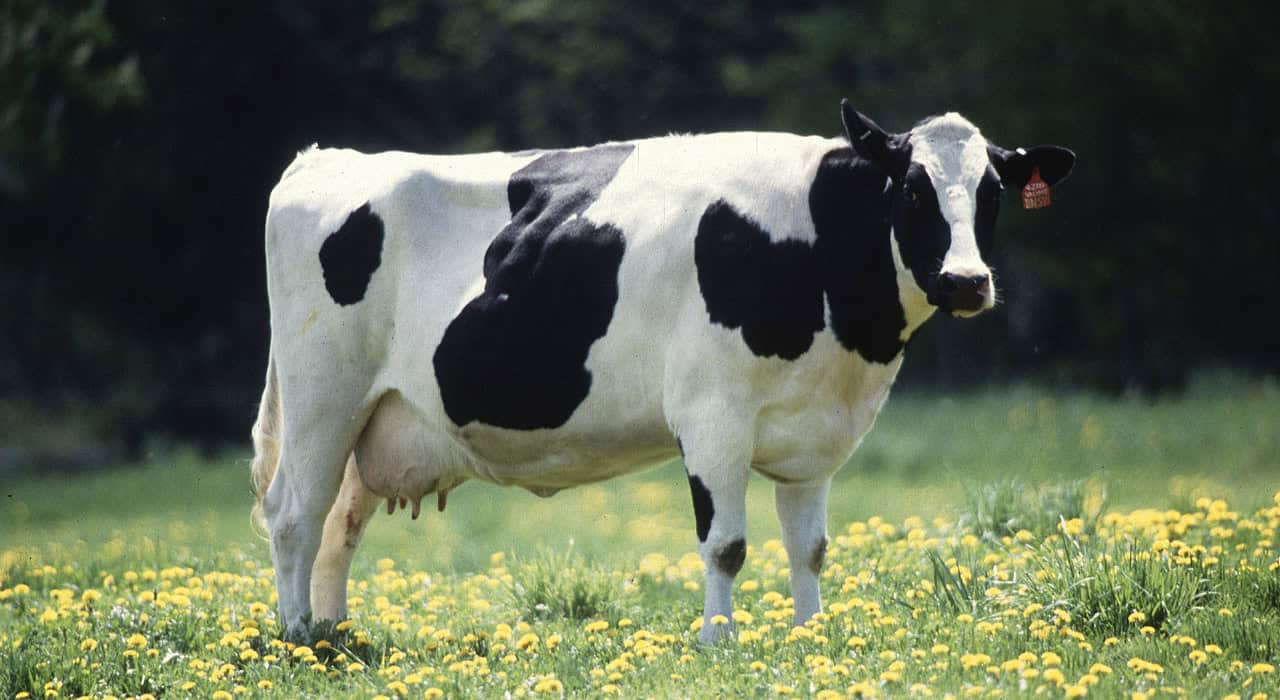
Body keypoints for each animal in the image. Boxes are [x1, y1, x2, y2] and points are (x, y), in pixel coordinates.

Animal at [250, 99, 1075, 643]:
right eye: (911, 188)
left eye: (993, 192)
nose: (967, 281)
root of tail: (325, 159)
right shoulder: (713, 416)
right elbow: (727, 544)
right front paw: (718, 642)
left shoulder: (816, 434)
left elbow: (809, 546)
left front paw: (811, 637)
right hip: (323, 395)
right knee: (294, 514)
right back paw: (298, 640)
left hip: (375, 416)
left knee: (339, 525)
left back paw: (335, 635)